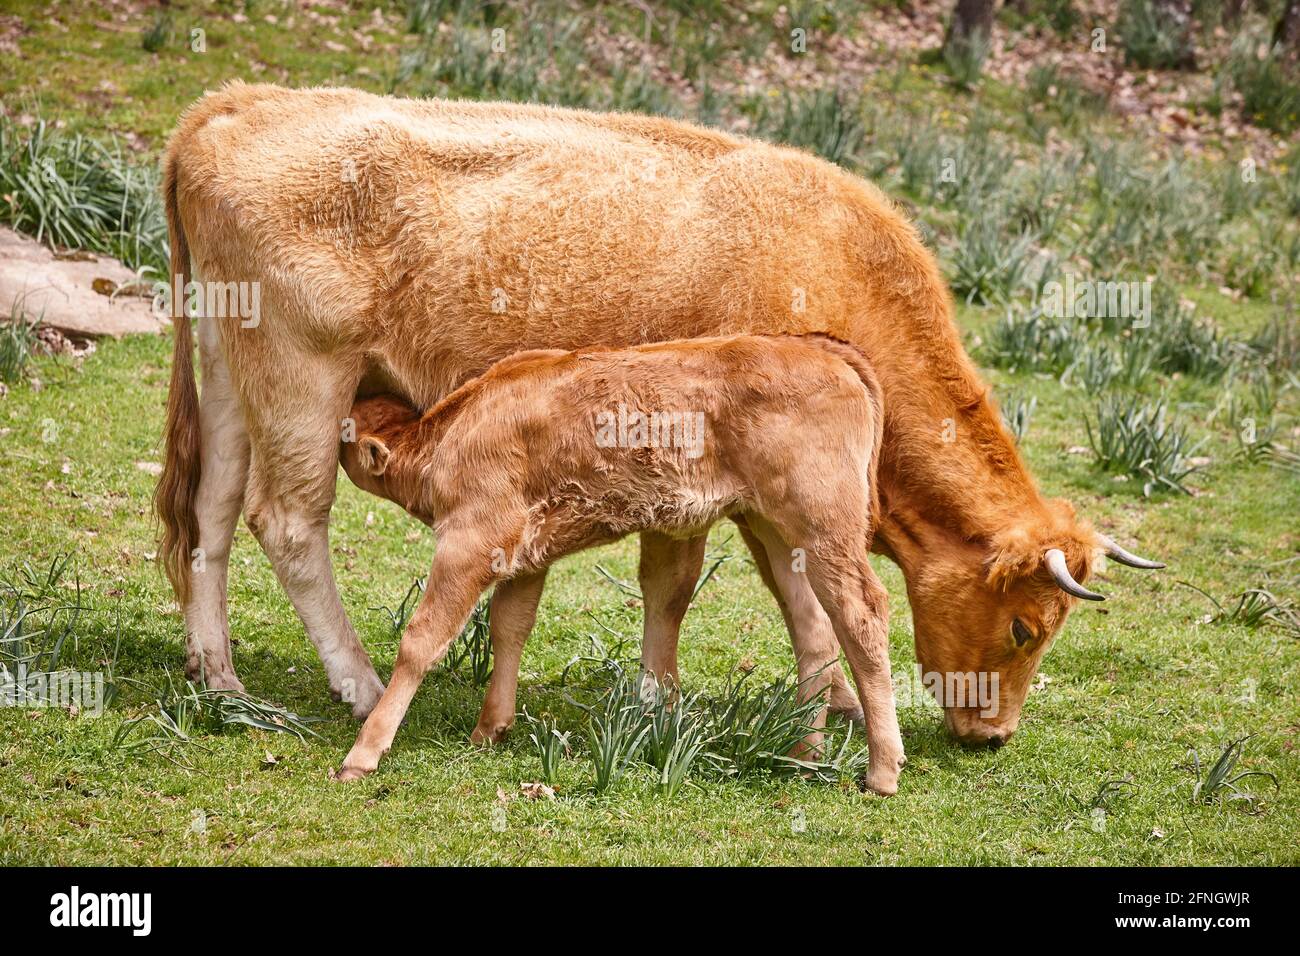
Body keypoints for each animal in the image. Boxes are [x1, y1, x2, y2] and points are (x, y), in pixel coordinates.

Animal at [333, 333, 904, 792]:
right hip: (780, 533)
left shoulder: (469, 543)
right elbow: (509, 627)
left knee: (863, 613)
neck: (447, 437)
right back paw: (804, 755)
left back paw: (881, 772)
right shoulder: (525, 556)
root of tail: (820, 347)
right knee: (814, 628)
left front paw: (364, 753)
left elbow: (422, 638)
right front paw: (490, 728)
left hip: (825, 528)